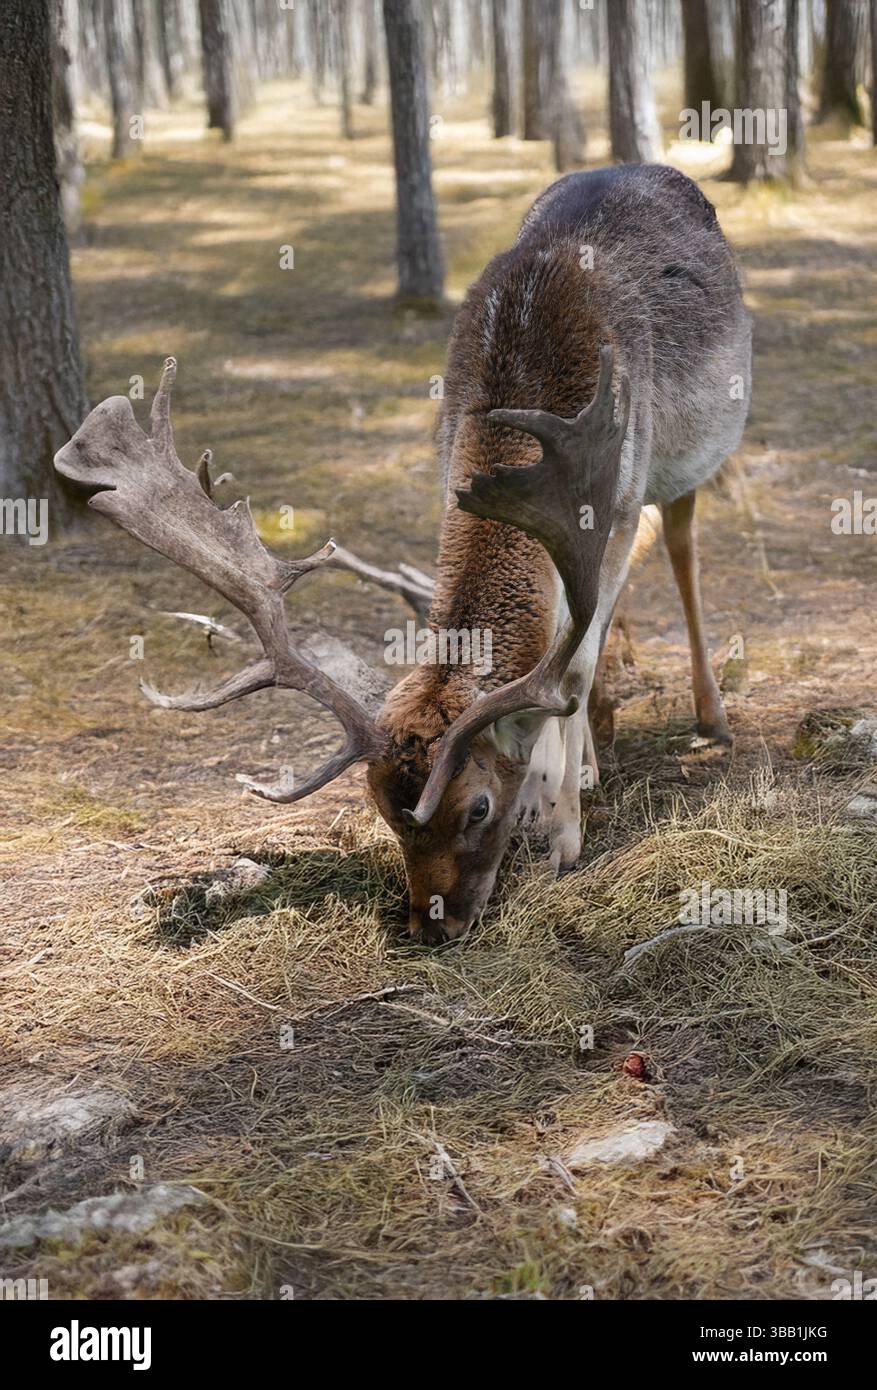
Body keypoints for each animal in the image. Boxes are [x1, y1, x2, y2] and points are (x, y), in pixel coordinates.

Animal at [55, 164, 751, 945]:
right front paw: (553, 787)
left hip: (684, 464)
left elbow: (571, 660)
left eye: (476, 807)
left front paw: (562, 835)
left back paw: (708, 718)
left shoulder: (617, 498)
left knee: (679, 541)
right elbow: (560, 653)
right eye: (384, 812)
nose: (430, 925)